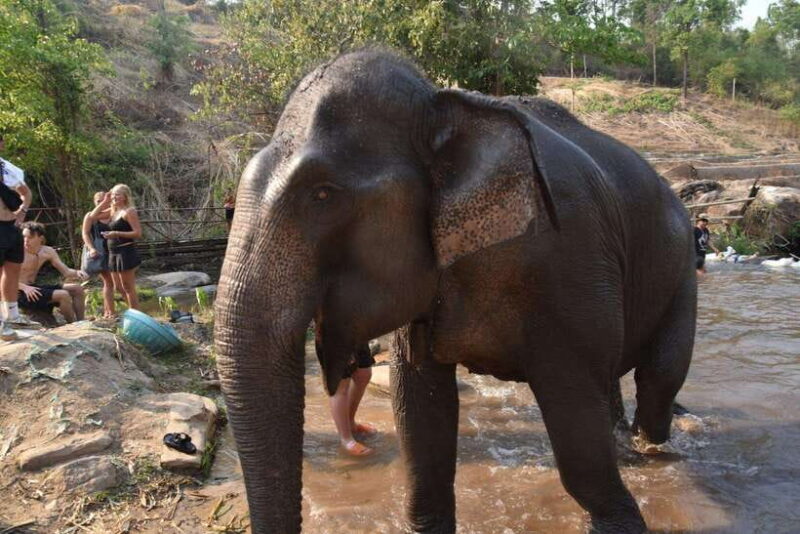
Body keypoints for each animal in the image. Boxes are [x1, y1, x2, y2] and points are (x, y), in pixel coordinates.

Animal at [215, 48, 696, 534]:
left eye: (322, 194)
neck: (443, 104)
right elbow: (420, 409)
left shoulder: (572, 256)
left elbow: (575, 417)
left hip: (681, 268)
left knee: (659, 376)